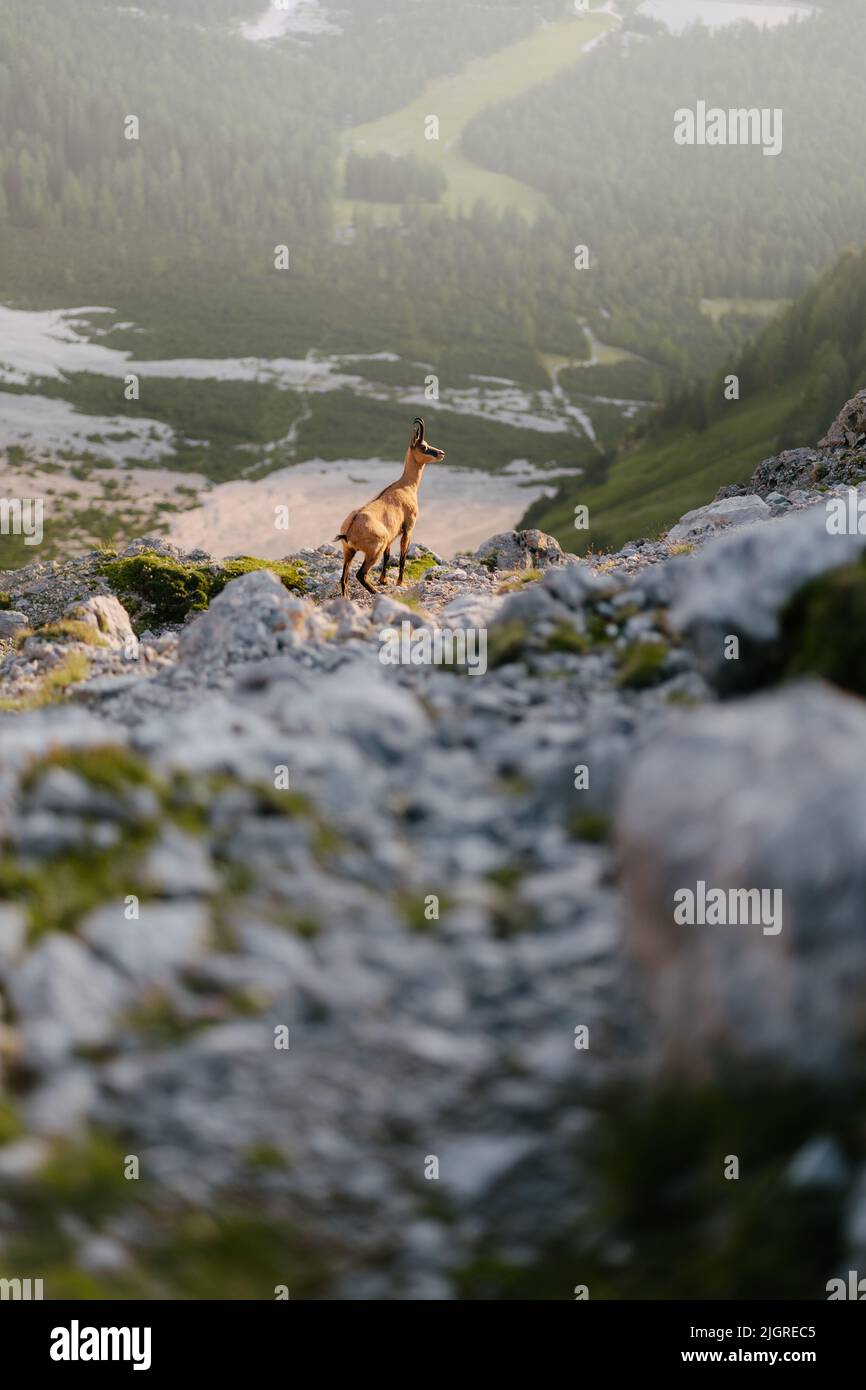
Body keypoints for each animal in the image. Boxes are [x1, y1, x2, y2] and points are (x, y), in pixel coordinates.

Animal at [335, 416, 445, 597]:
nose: (441, 453)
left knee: (344, 578)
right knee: (360, 574)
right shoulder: (408, 529)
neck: (405, 486)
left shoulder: (391, 537)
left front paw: (383, 580)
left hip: (348, 552)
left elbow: (387, 556)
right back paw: (375, 592)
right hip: (373, 551)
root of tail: (349, 529)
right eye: (423, 447)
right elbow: (402, 557)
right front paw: (400, 582)